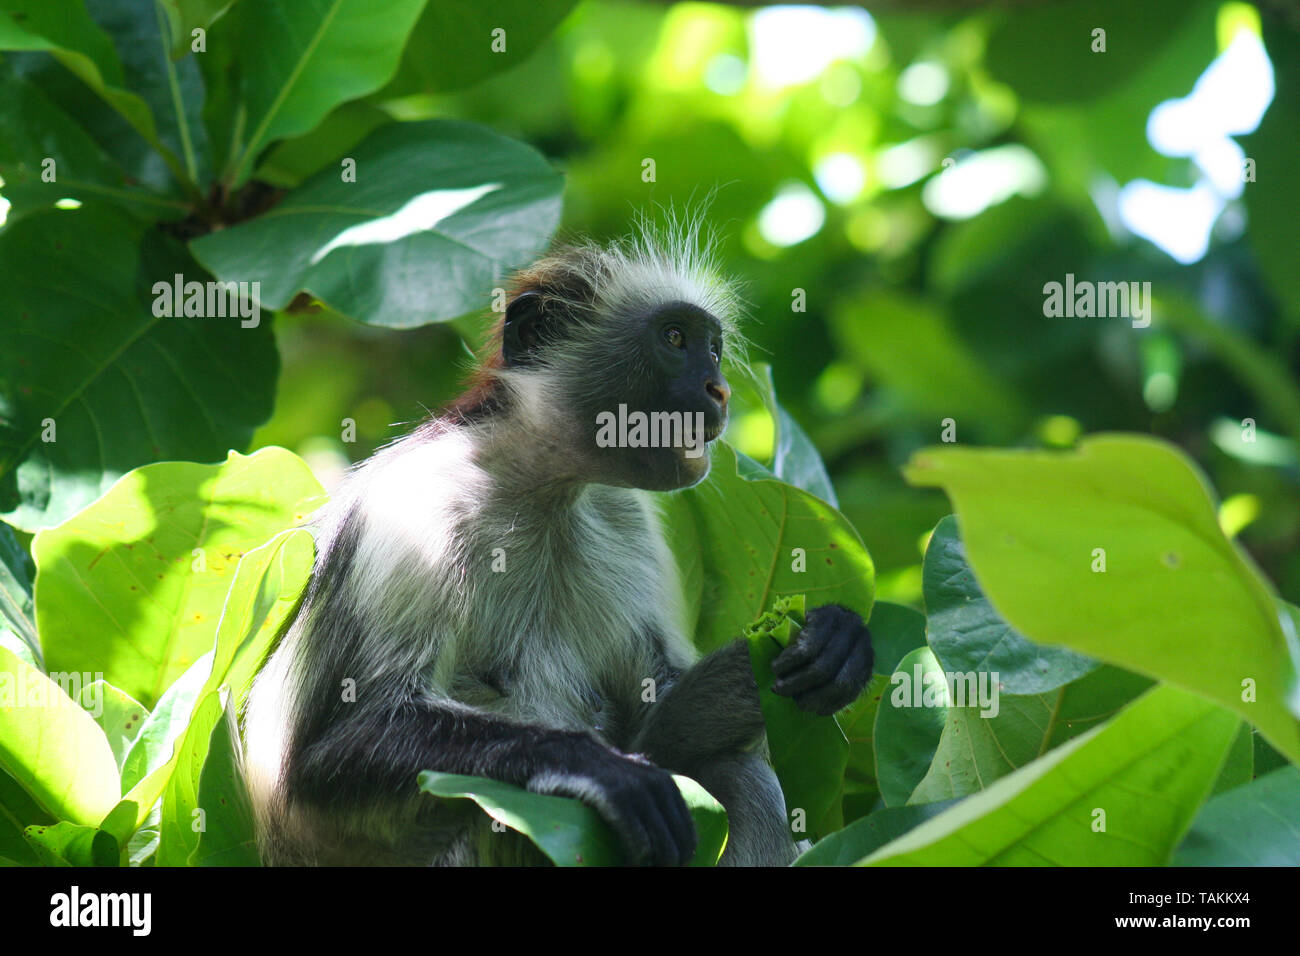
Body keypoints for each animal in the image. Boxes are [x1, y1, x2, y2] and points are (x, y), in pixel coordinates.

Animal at [242, 222, 874, 866]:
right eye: (675, 338)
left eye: (714, 348)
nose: (718, 390)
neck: (540, 492)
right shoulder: (415, 510)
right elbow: (321, 758)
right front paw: (598, 767)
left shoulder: (623, 513)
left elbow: (656, 724)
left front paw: (829, 641)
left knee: (737, 772)